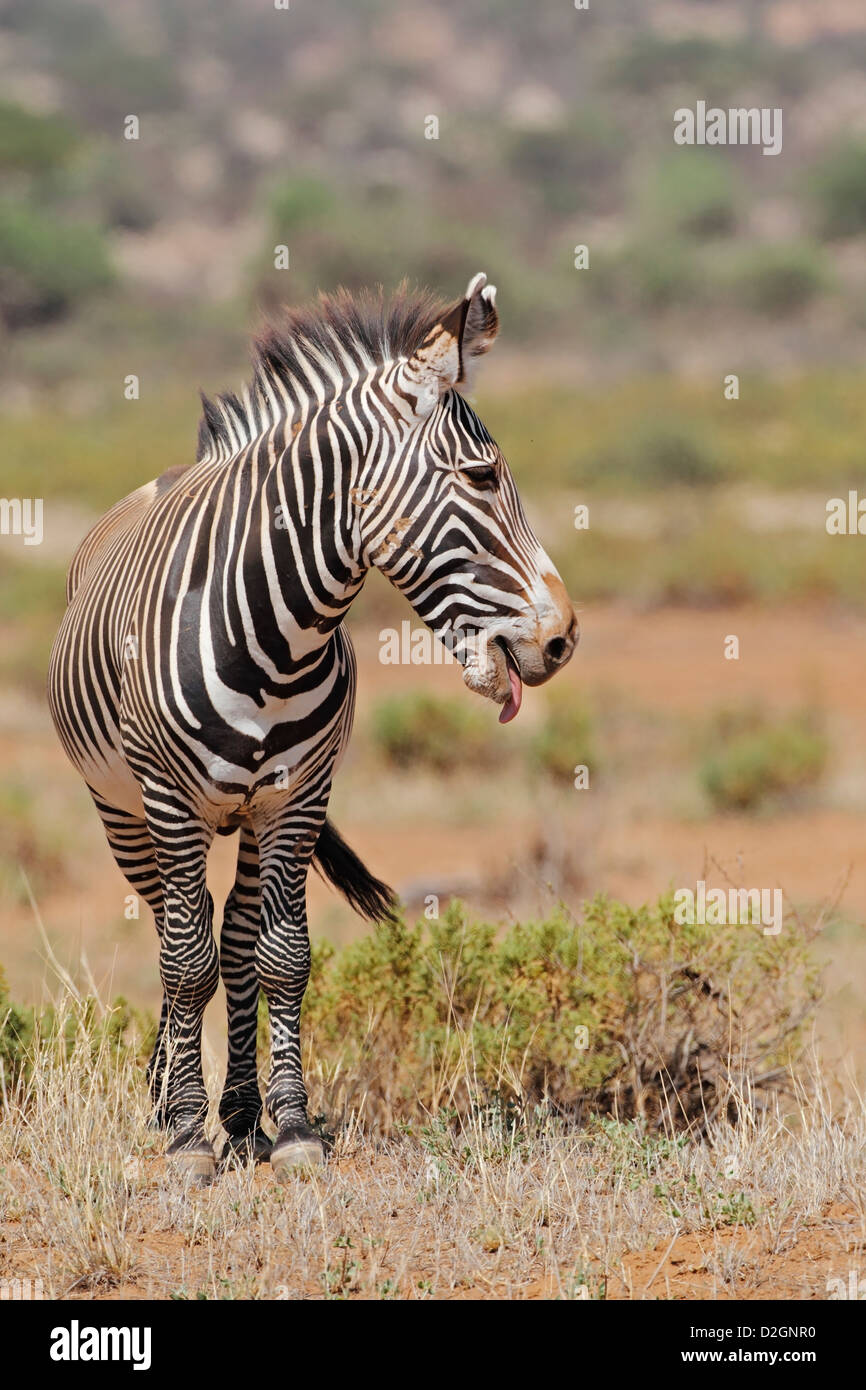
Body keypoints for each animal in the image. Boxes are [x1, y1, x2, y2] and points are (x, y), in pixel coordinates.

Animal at [47, 272, 578, 1183]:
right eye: (482, 477)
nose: (563, 638)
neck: (275, 637)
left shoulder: (298, 798)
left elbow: (282, 956)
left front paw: (288, 1125)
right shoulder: (169, 801)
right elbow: (185, 960)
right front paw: (186, 1137)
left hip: (250, 817)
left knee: (233, 935)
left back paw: (240, 1113)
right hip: (122, 808)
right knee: (172, 928)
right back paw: (172, 1102)